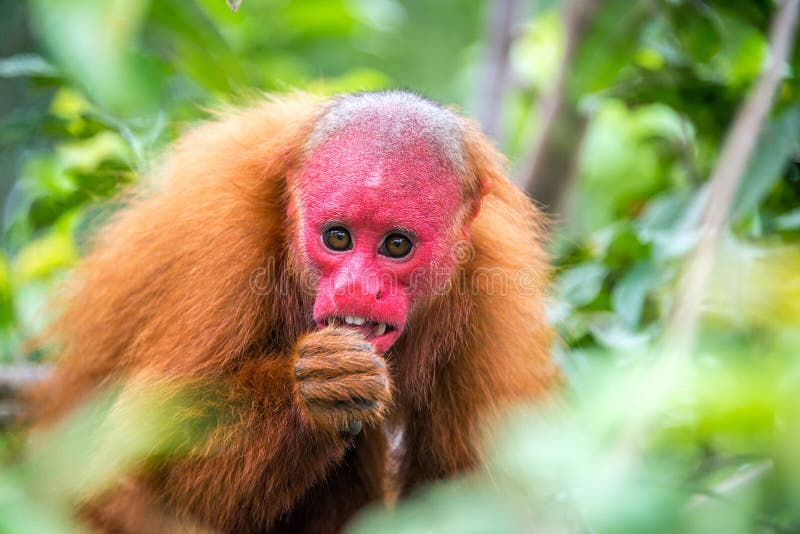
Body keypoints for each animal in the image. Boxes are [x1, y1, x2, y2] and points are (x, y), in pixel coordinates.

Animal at [27, 90, 556, 533]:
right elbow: (143, 467)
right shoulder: (221, 245)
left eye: (397, 245)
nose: (357, 288)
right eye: (337, 237)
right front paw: (316, 389)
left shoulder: (493, 287)